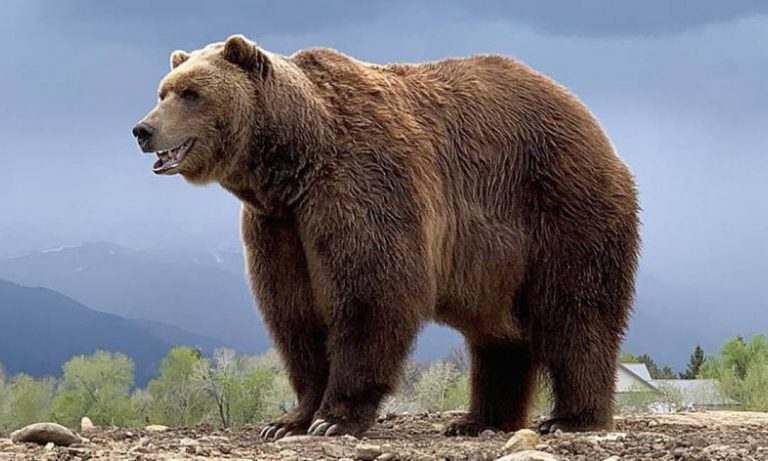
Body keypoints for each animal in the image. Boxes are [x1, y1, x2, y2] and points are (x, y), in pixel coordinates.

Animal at [133, 35, 640, 439]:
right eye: (163, 90)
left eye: (191, 93)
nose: (143, 129)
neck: (294, 165)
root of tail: (588, 119)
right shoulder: (279, 227)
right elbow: (293, 313)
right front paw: (289, 419)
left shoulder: (363, 188)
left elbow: (372, 296)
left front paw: (334, 418)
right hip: (495, 265)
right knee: (499, 337)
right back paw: (478, 420)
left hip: (560, 208)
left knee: (576, 312)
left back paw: (571, 418)